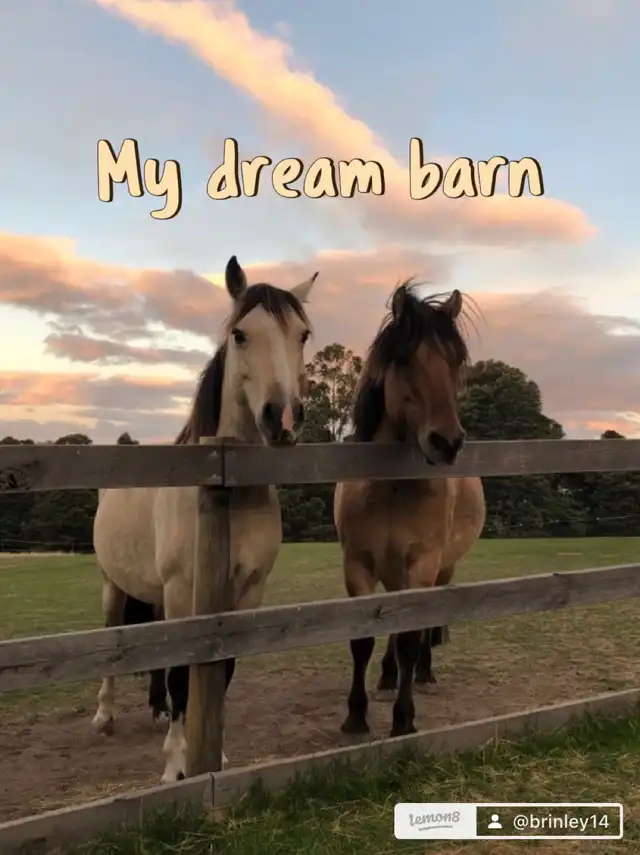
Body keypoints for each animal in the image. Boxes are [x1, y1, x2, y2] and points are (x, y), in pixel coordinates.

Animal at [91, 255, 319, 782]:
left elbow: (220, 668)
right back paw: (105, 715)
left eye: (302, 335)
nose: (283, 419)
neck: (225, 484)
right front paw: (177, 764)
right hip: (115, 585)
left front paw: (214, 753)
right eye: (240, 334)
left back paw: (155, 711)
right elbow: (182, 673)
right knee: (115, 640)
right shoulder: (183, 591)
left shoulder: (247, 591)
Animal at [333, 281, 485, 739]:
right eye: (403, 358)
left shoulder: (422, 563)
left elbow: (412, 639)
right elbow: (364, 639)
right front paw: (356, 716)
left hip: (440, 568)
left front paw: (403, 719)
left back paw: (423, 675)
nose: (447, 442)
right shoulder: (359, 563)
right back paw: (387, 677)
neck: (391, 486)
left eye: (456, 361)